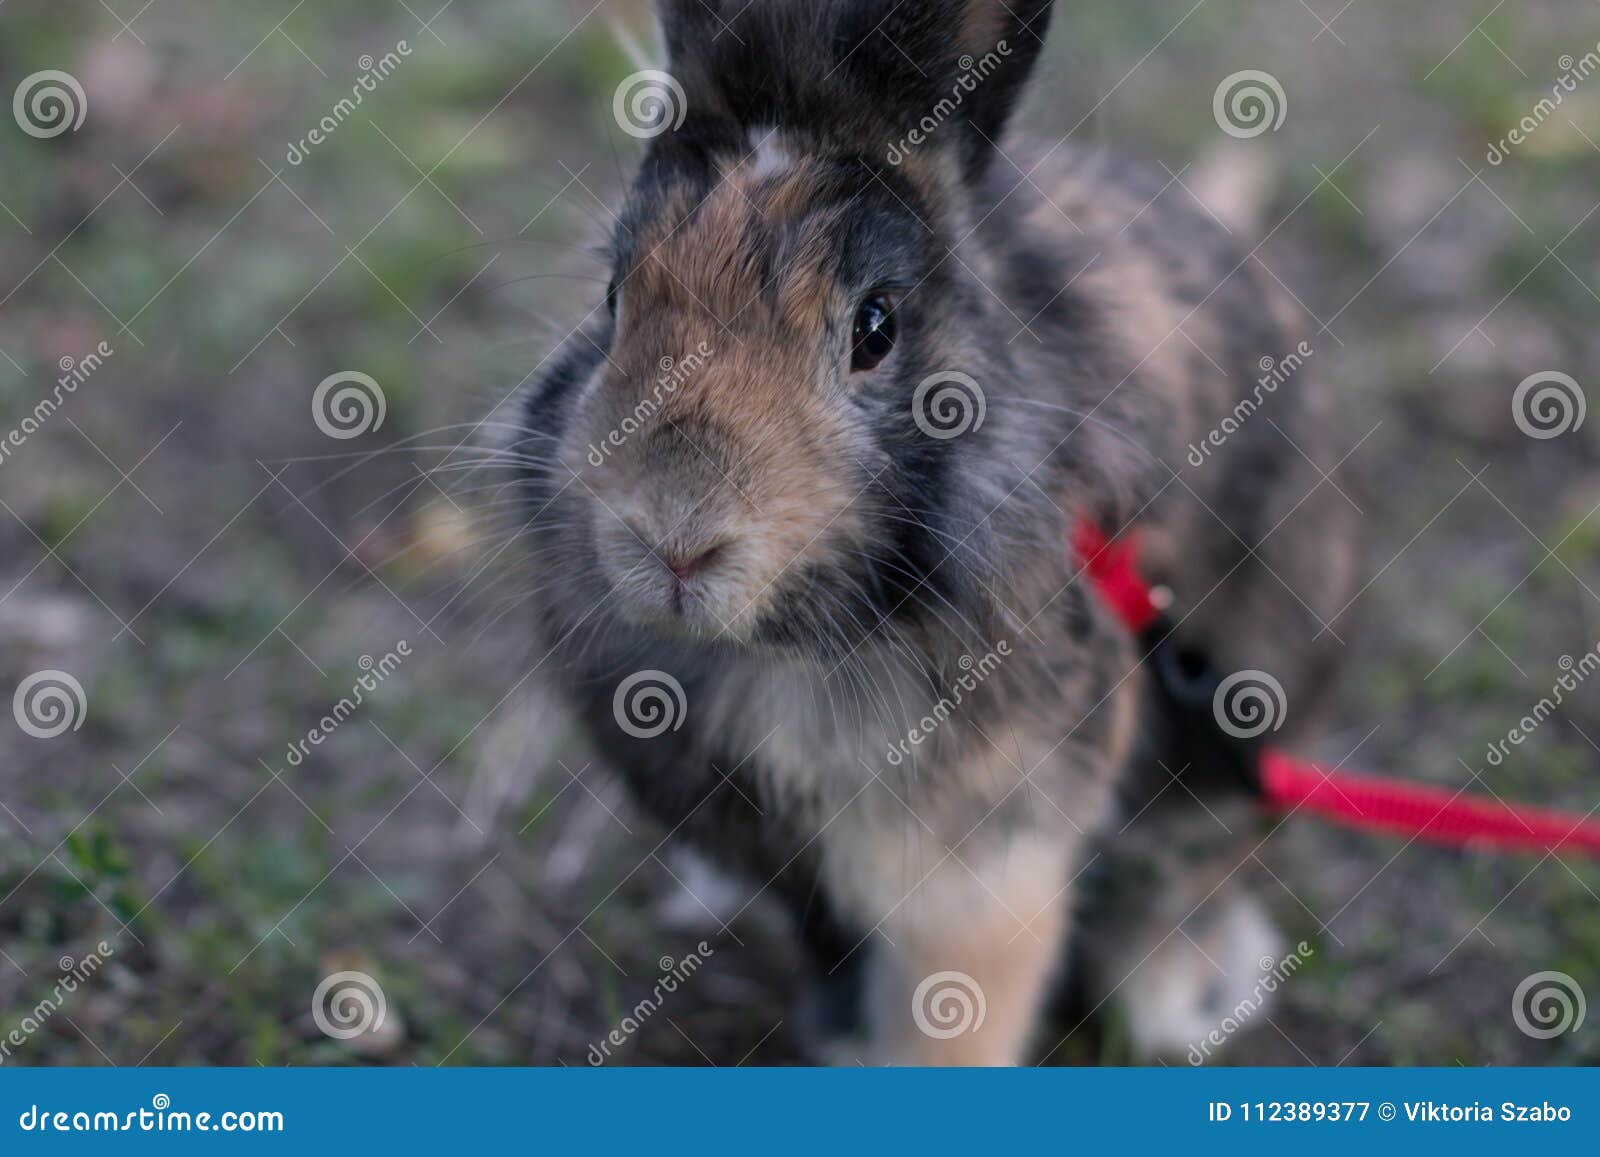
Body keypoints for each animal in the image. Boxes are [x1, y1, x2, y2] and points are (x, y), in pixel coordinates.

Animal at [507, 0, 1356, 1065]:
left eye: (876, 327)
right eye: (614, 297)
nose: (673, 537)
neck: (791, 647)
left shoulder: (984, 870)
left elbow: (955, 1011)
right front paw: (838, 1041)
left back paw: (1182, 999)